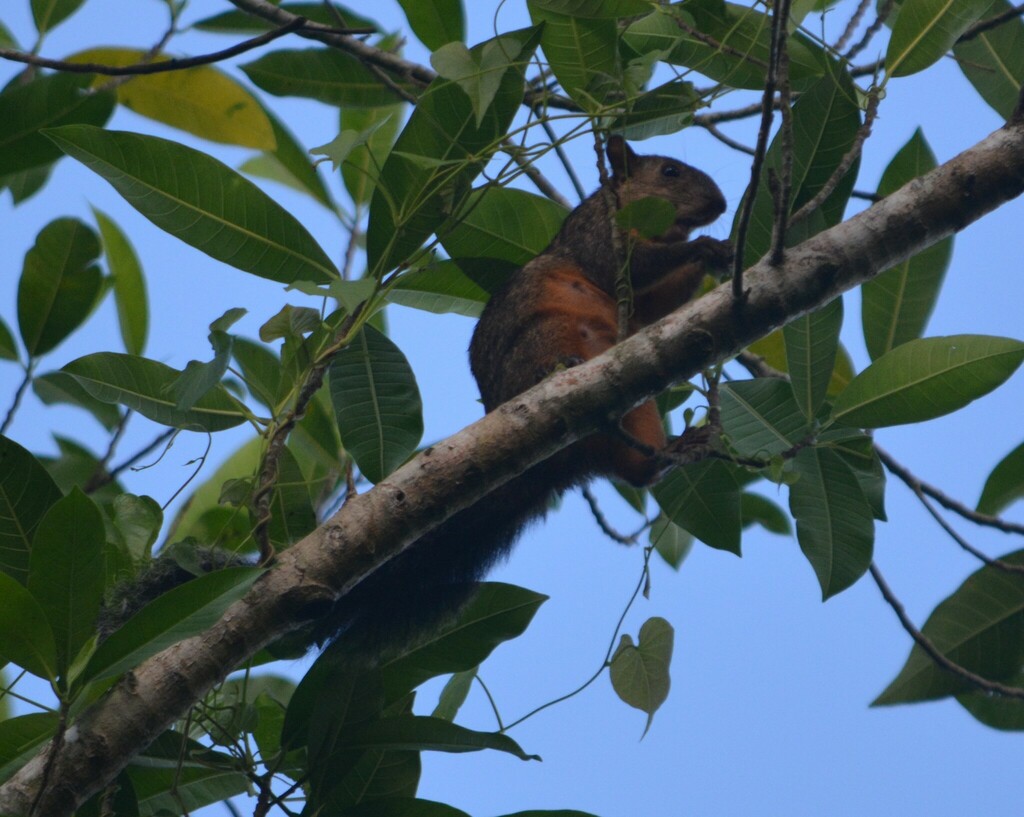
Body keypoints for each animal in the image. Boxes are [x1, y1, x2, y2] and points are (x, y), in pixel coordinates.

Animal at [101, 137, 731, 657]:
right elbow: (635, 268)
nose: (721, 204)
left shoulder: (639, 304)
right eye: (670, 171)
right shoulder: (602, 236)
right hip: (545, 338)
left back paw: (684, 446)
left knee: (638, 470)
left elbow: (654, 309)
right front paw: (710, 246)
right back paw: (563, 376)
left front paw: (719, 254)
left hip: (636, 407)